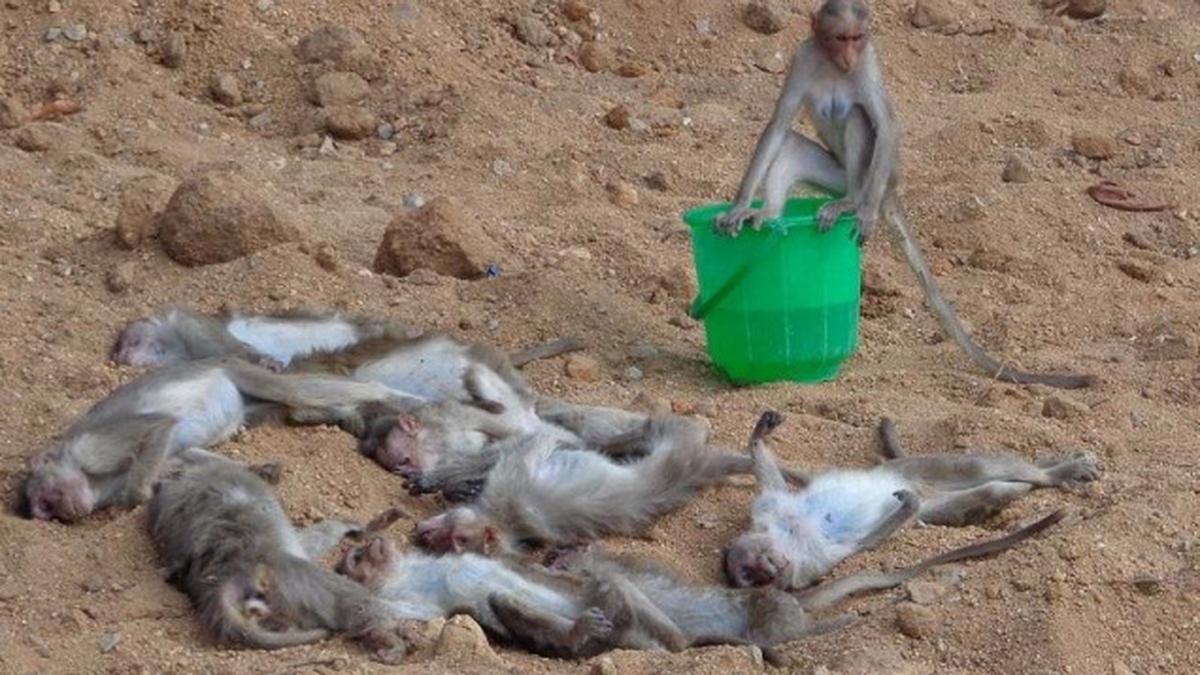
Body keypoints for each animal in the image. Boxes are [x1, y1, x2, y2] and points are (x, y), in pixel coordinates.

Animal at [22, 357, 414, 521]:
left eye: (48, 500)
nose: (60, 514)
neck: (92, 481)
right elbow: (184, 456)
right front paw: (259, 471)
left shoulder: (92, 448)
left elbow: (160, 428)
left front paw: (141, 494)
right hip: (251, 401)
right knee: (292, 409)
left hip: (236, 370)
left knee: (295, 393)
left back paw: (395, 396)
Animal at [147, 451, 412, 652]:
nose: (177, 455)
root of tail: (229, 577)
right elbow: (315, 538)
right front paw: (358, 526)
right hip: (300, 581)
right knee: (351, 600)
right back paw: (386, 633)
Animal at [414, 413, 811, 556]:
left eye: (455, 540)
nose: (425, 538)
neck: (505, 522)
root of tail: (695, 468)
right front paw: (458, 485)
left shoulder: (509, 487)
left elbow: (541, 441)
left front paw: (442, 478)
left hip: (678, 441)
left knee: (665, 426)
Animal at [716, 0, 1093, 389]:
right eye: (839, 39)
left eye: (857, 38)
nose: (850, 56)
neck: (834, 64)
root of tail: (885, 191)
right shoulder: (803, 57)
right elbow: (777, 128)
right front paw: (740, 206)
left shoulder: (869, 60)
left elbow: (886, 125)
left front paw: (864, 215)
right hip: (834, 175)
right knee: (790, 144)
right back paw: (768, 215)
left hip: (877, 179)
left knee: (857, 117)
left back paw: (854, 203)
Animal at [722, 412, 1101, 590]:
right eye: (749, 576)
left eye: (752, 567)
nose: (769, 571)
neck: (787, 536)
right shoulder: (812, 567)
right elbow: (863, 542)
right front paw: (907, 506)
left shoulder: (770, 512)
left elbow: (771, 482)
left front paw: (760, 434)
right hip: (941, 494)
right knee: (993, 488)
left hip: (921, 465)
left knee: (996, 467)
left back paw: (1061, 469)